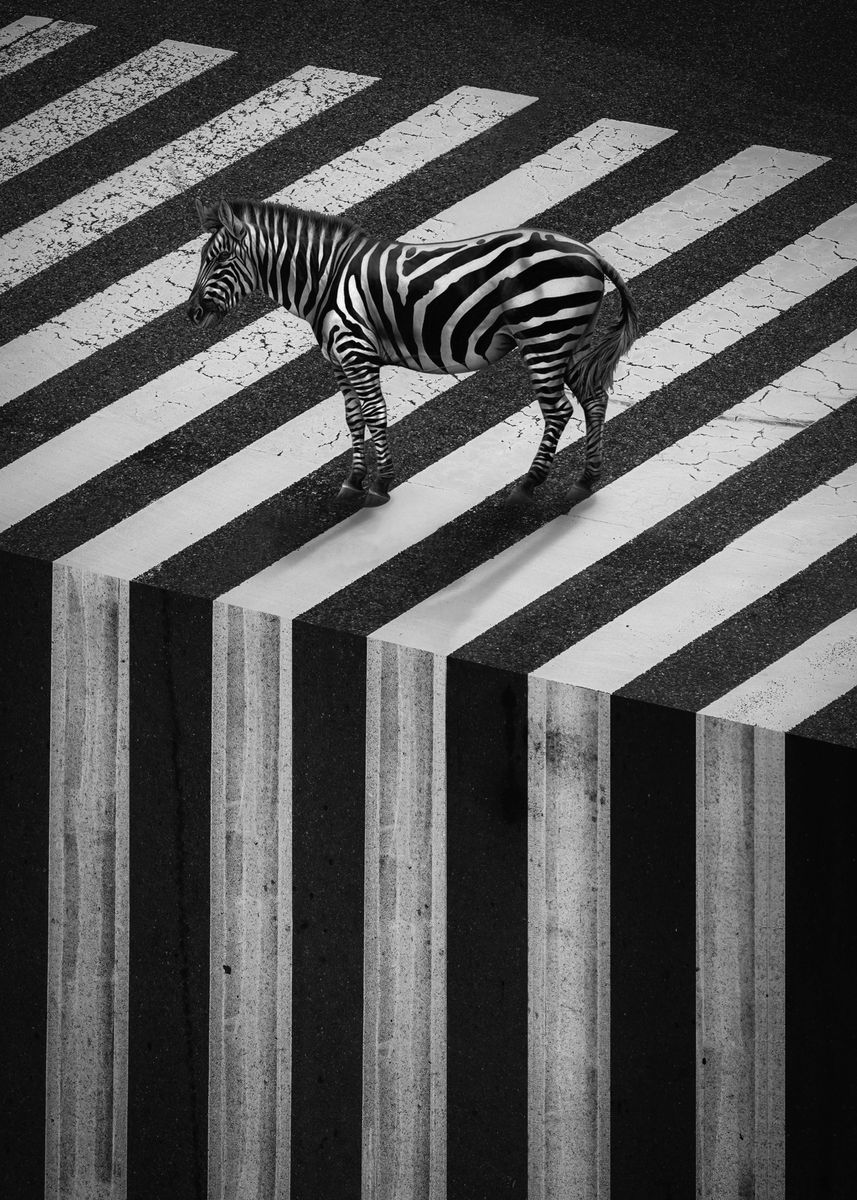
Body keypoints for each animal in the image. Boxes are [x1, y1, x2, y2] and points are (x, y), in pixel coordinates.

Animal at [186, 198, 638, 508]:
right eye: (204, 259)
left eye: (220, 259)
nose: (191, 314)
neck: (326, 281)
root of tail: (590, 253)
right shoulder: (339, 360)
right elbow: (352, 418)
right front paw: (354, 480)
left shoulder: (356, 351)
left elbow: (374, 414)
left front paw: (381, 484)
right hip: (569, 339)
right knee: (593, 399)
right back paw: (586, 480)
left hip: (543, 335)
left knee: (559, 410)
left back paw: (529, 483)